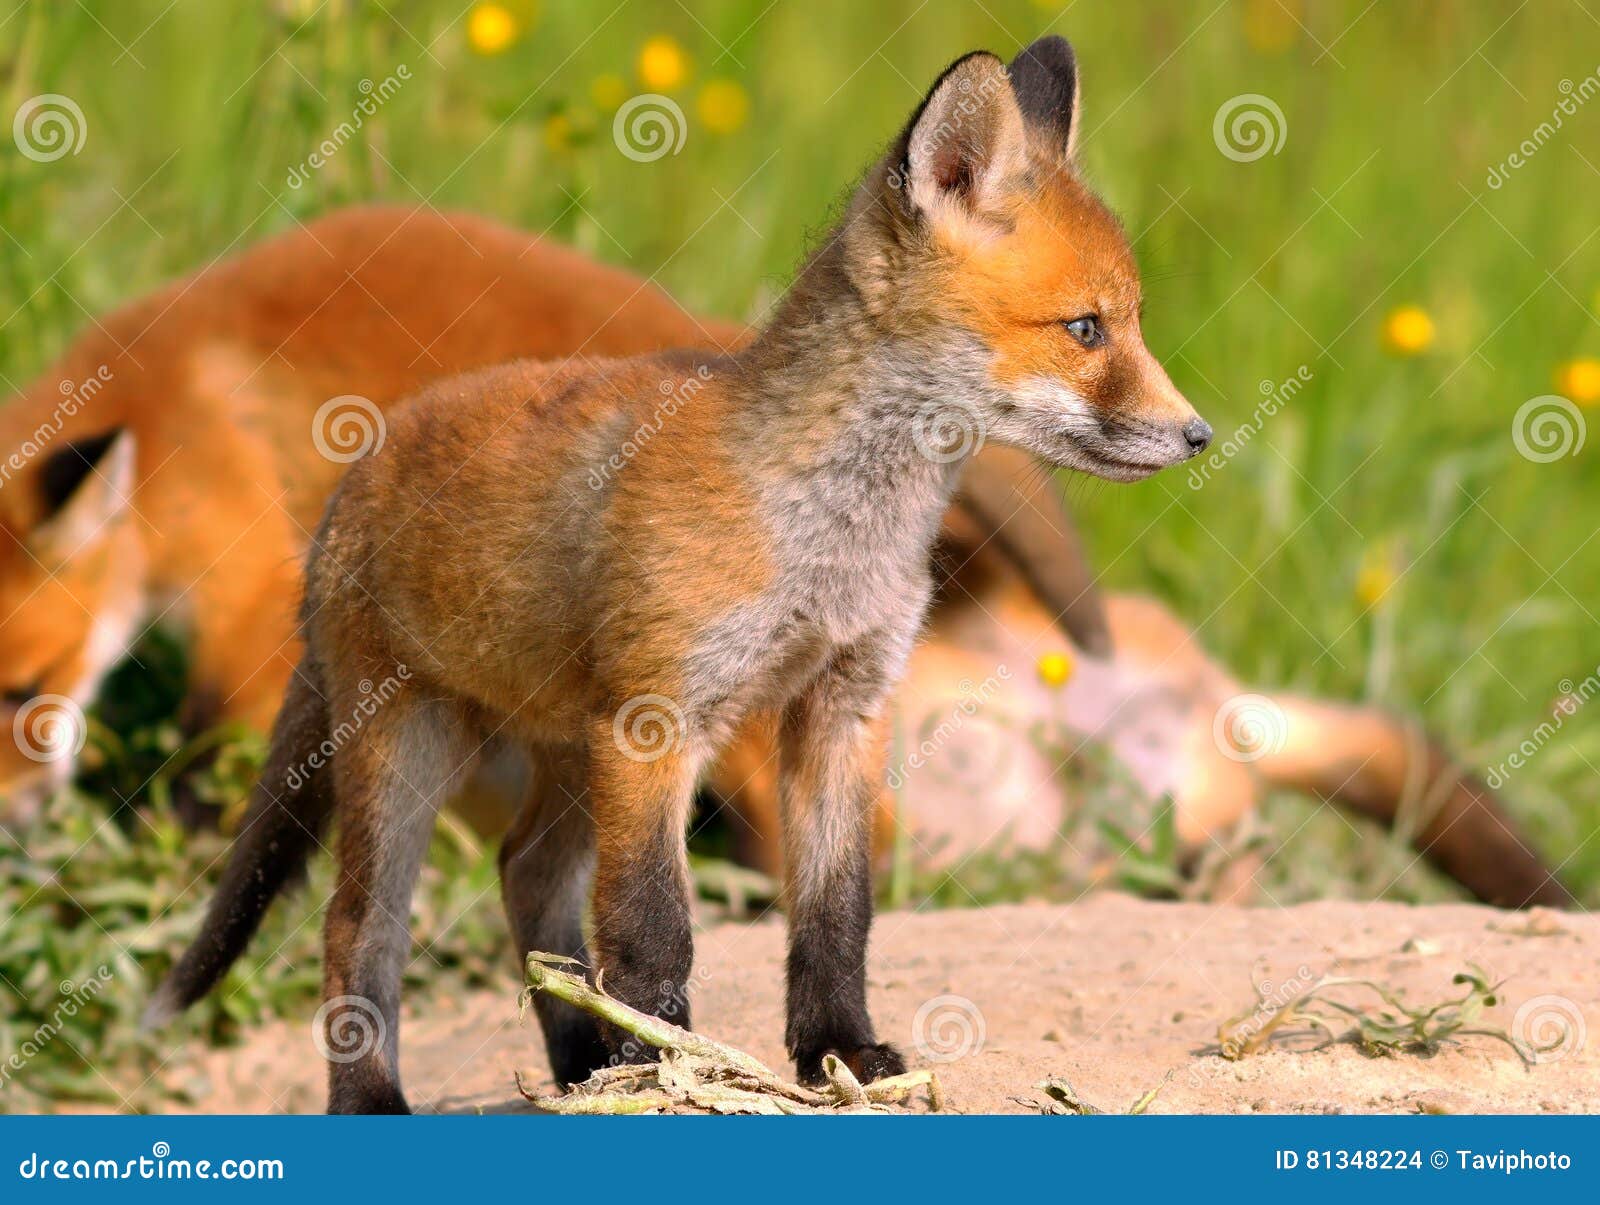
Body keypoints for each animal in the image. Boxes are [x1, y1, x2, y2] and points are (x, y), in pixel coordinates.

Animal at [150, 37, 1223, 1113]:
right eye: (1085, 329)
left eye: (1130, 323)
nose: (1199, 435)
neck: (833, 535)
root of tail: (350, 486)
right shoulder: (655, 722)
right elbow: (652, 926)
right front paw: (670, 1068)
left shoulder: (842, 706)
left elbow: (835, 911)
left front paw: (836, 1052)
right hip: (409, 748)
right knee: (357, 924)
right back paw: (388, 1094)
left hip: (564, 752)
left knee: (526, 875)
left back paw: (582, 1062)